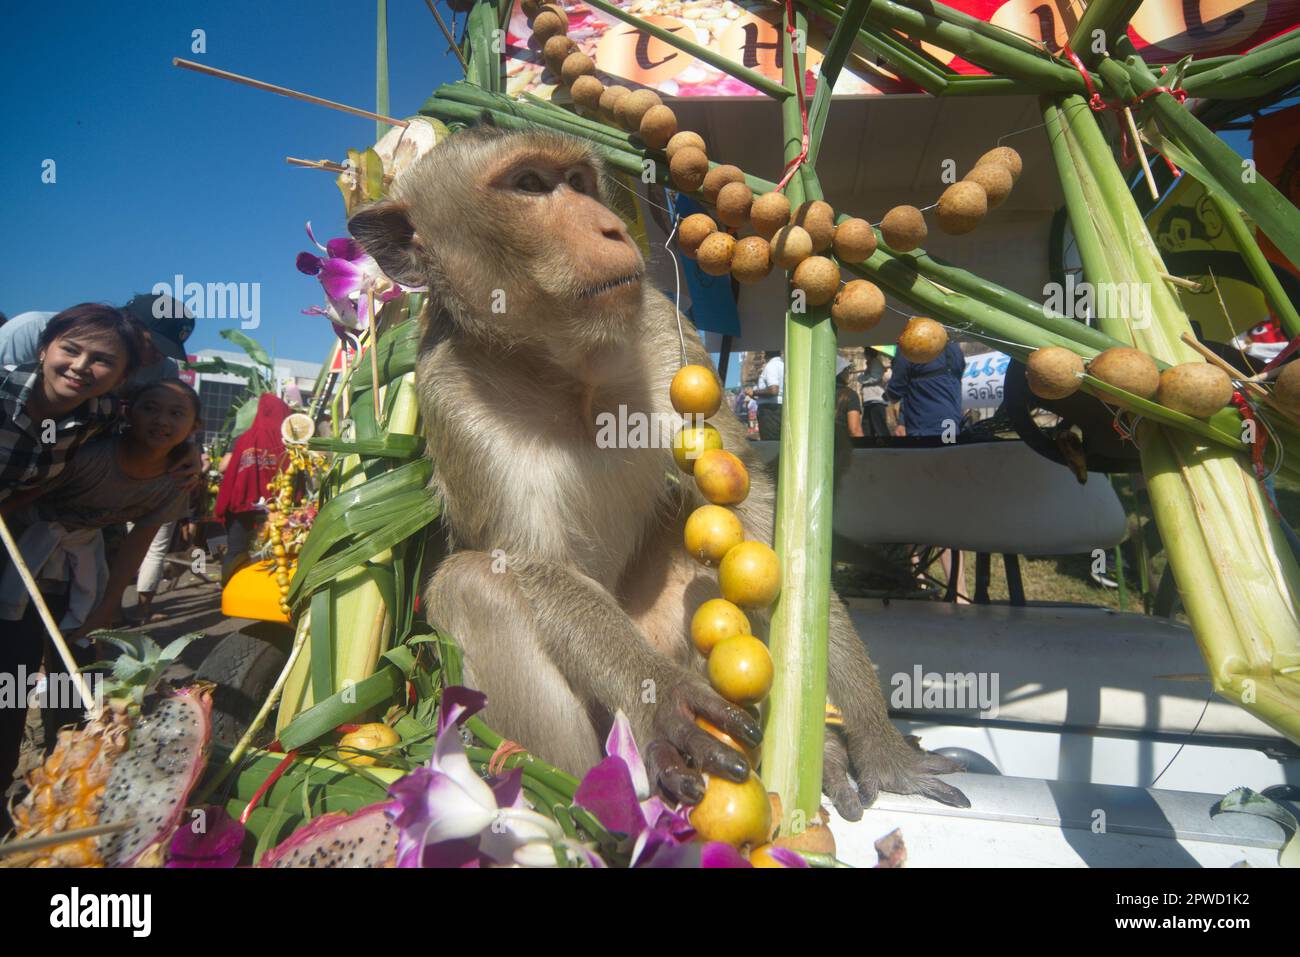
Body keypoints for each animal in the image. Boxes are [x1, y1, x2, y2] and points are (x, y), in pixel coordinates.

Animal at [349, 123, 968, 819]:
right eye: (529, 185)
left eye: (579, 183)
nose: (612, 228)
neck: (565, 370)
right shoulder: (449, 392)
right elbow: (530, 564)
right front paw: (661, 696)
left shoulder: (664, 332)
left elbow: (757, 516)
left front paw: (878, 745)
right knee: (470, 586)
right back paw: (582, 808)